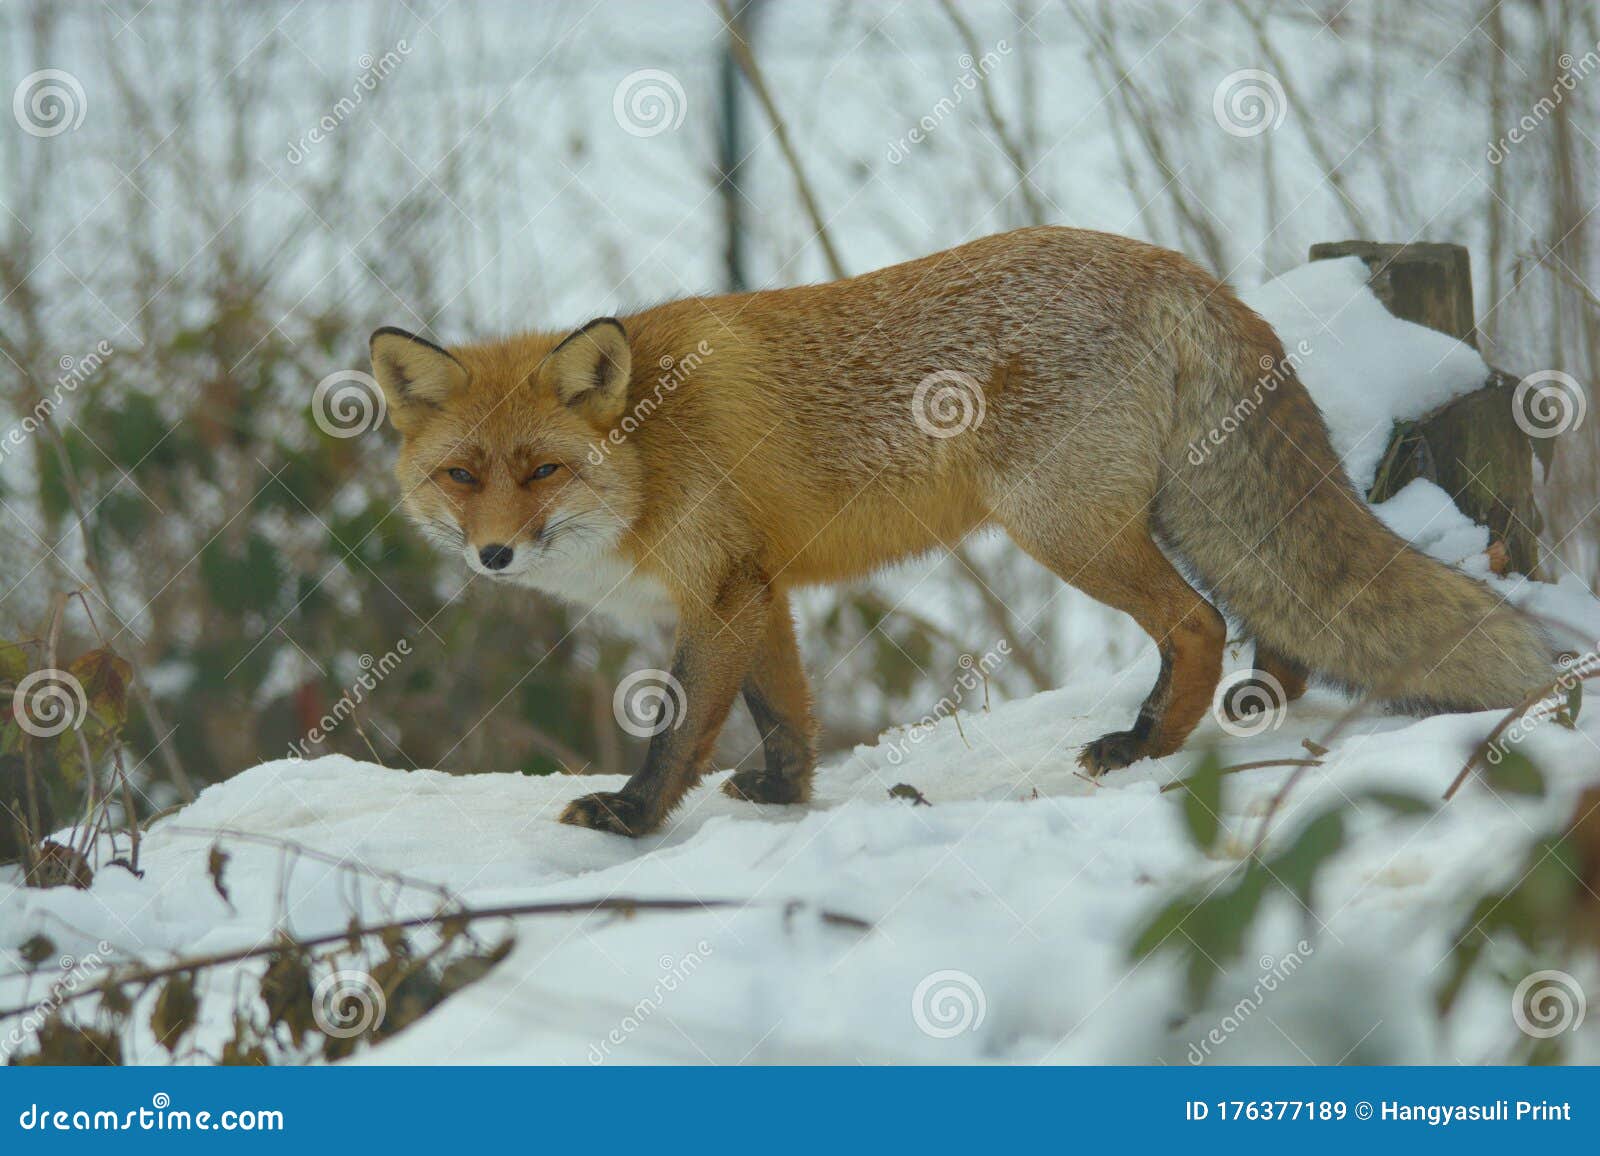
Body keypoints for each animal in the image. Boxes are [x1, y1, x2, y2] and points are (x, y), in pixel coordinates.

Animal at [369, 226, 1552, 837]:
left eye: (544, 471)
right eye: (462, 476)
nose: (493, 553)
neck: (653, 450)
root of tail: (1176, 267)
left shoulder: (718, 590)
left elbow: (680, 727)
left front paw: (633, 813)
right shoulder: (759, 587)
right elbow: (783, 712)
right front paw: (784, 797)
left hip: (1064, 528)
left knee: (1199, 624)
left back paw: (1142, 746)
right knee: (1281, 626)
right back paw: (1254, 707)